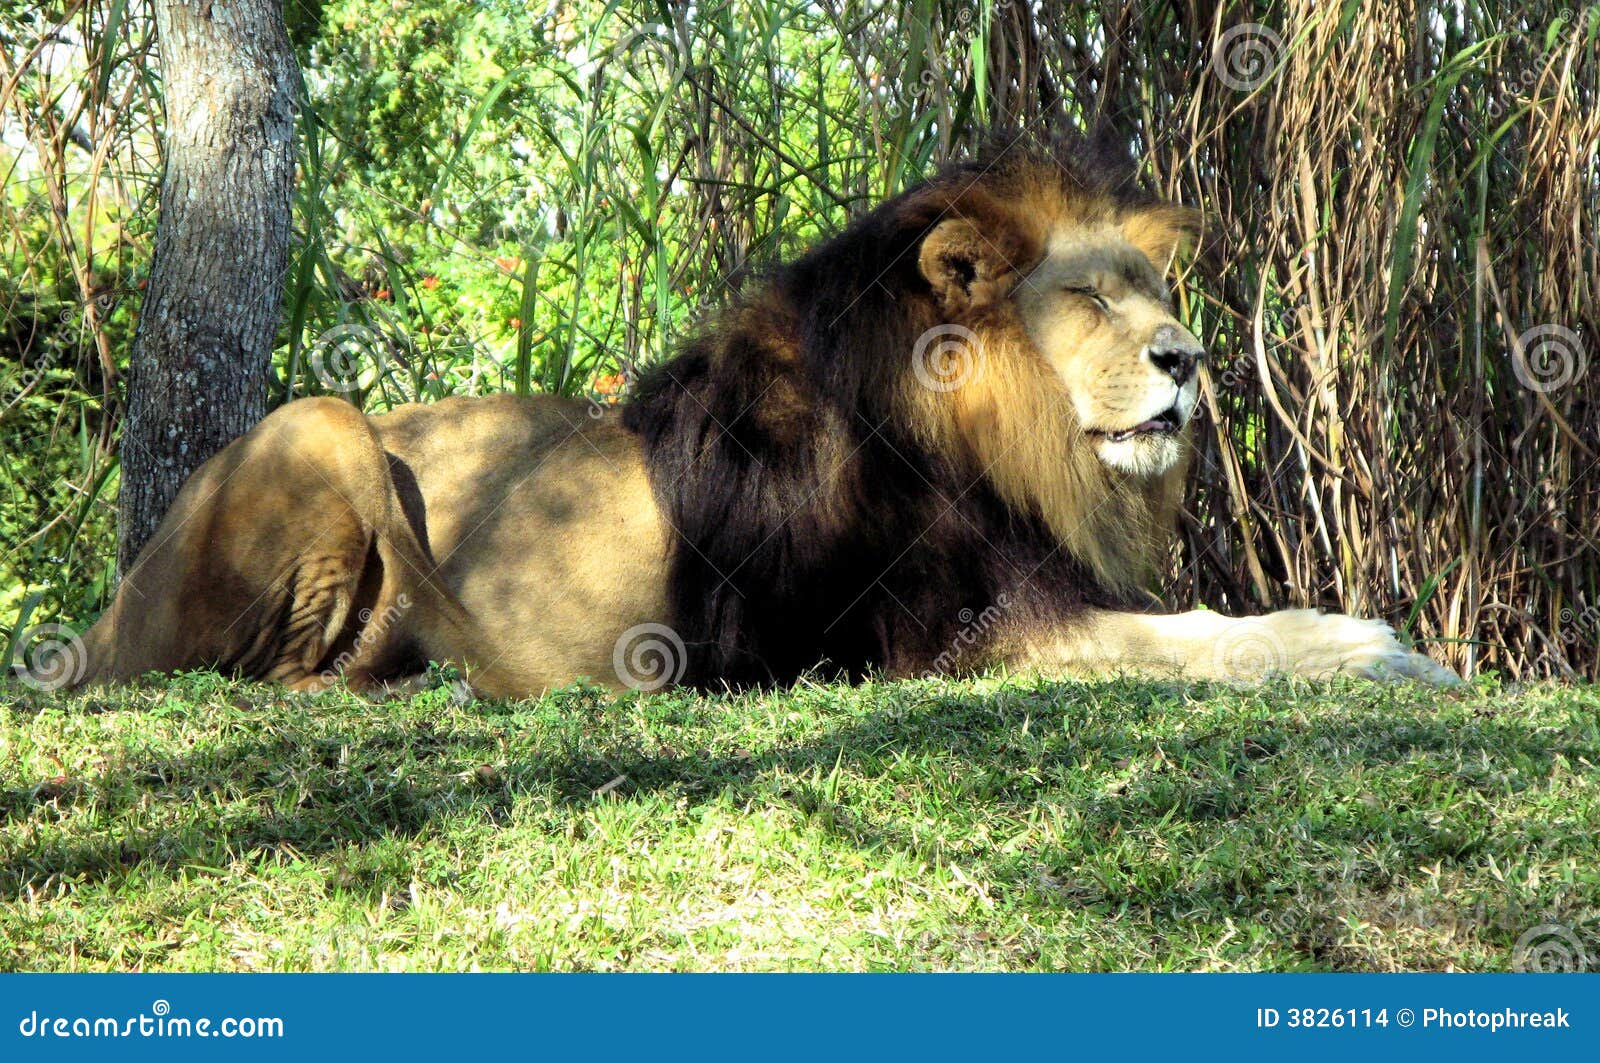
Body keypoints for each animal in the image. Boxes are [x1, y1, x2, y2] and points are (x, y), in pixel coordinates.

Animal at [73, 142, 1458, 696]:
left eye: (1157, 293)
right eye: (1085, 297)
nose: (1188, 356)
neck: (989, 439)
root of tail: (100, 616)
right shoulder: (950, 639)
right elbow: (1204, 636)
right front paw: (1374, 647)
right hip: (327, 420)